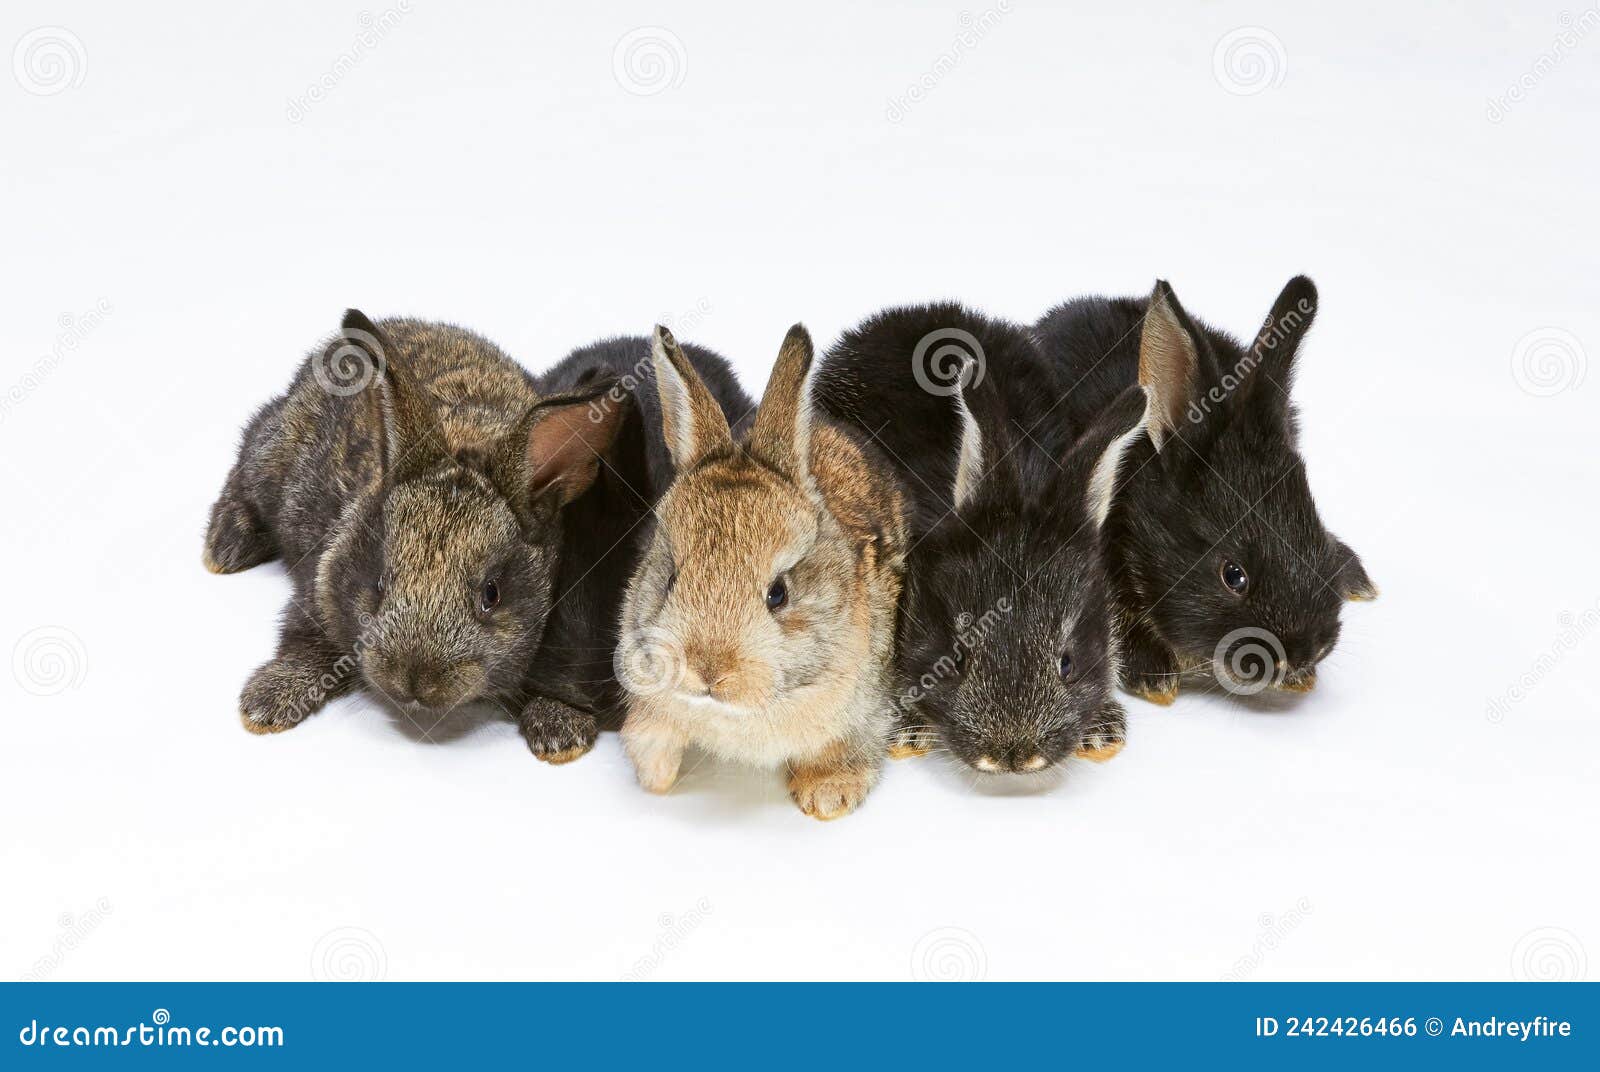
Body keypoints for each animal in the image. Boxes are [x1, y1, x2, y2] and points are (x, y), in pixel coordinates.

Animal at [203, 310, 748, 764]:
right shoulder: (321, 584)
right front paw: (265, 704)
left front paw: (559, 729)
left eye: (491, 595)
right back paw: (225, 547)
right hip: (273, 458)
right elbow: (305, 643)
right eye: (379, 583)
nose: (414, 680)